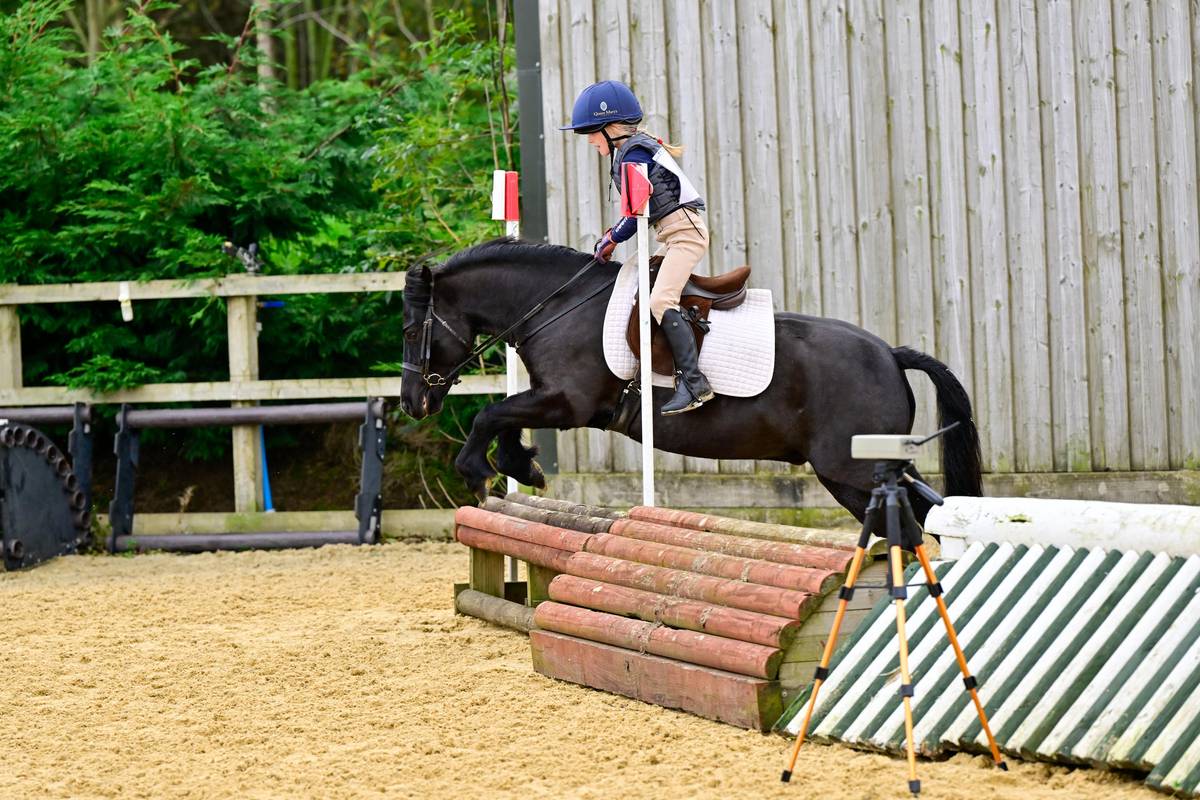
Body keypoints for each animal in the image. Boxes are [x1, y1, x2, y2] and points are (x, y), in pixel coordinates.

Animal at [399, 238, 982, 524]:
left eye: (409, 330)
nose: (411, 403)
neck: (558, 304)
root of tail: (890, 355)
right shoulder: (553, 400)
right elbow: (502, 419)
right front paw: (522, 466)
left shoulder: (567, 402)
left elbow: (489, 413)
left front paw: (478, 472)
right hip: (859, 474)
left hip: (854, 472)